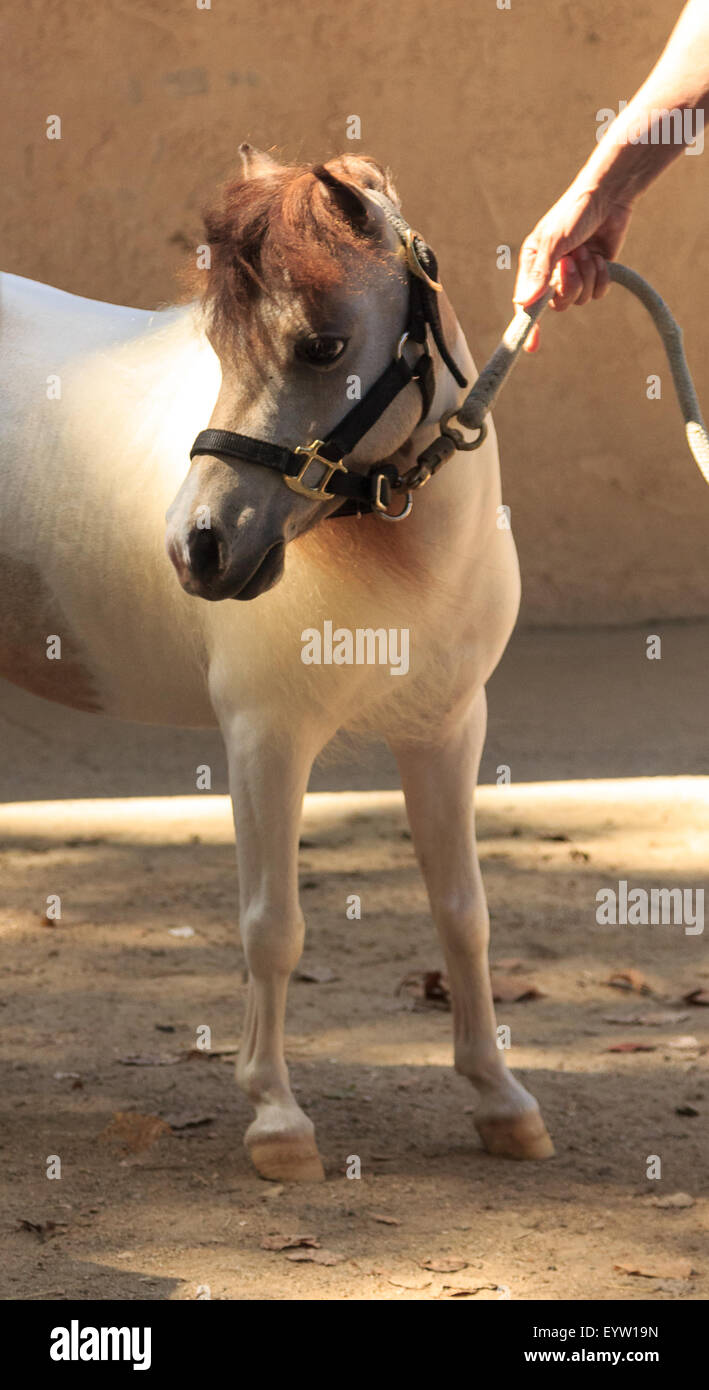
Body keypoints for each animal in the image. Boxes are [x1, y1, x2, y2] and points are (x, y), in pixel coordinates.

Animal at [0, 147, 553, 1181]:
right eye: (220, 348)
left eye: (324, 347)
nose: (199, 549)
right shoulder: (267, 738)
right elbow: (273, 927)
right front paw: (277, 1121)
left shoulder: (448, 731)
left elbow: (462, 912)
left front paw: (502, 1103)